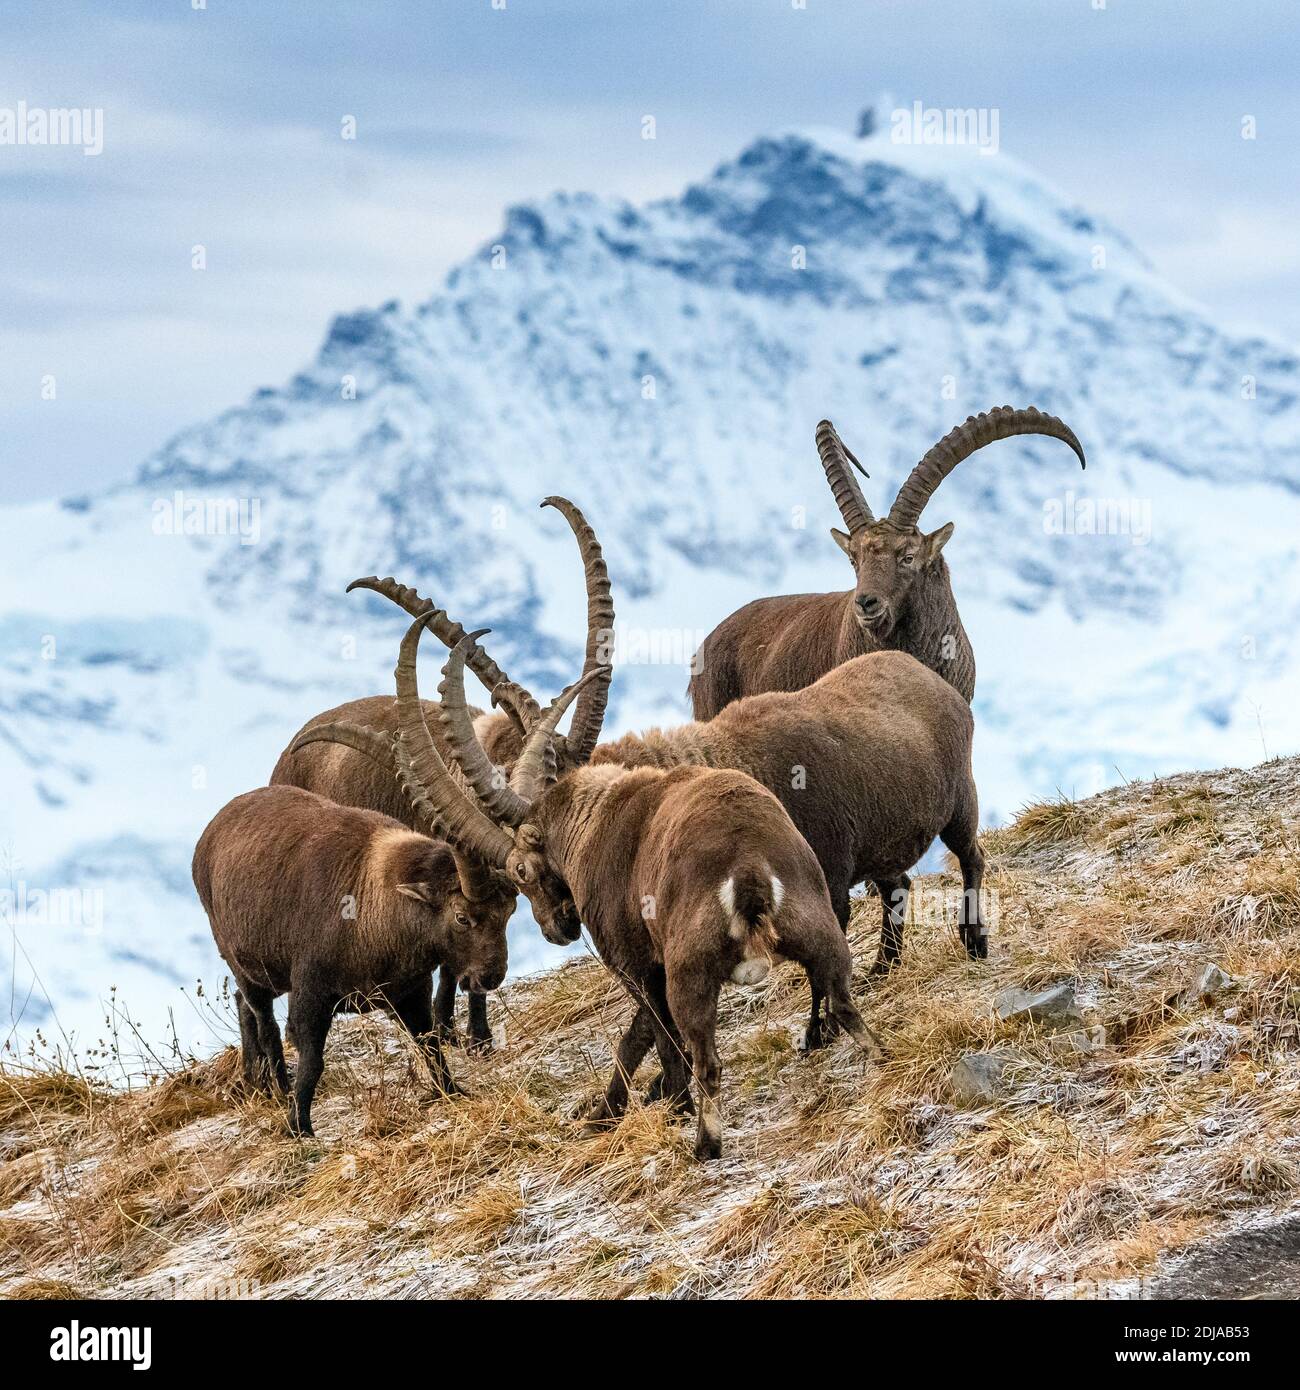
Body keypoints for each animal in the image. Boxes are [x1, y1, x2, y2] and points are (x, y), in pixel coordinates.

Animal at [192, 784, 515, 1136]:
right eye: (462, 917)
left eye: (509, 911)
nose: (490, 976)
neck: (375, 903)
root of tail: (212, 830)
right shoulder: (311, 991)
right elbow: (312, 1060)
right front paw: (299, 1126)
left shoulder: (410, 991)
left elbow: (428, 1043)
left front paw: (454, 1092)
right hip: (244, 964)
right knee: (264, 1022)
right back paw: (280, 1087)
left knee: (241, 1001)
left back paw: (256, 1080)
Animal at [349, 613, 883, 1160]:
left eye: (520, 871)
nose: (559, 927)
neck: (594, 812)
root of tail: (751, 871)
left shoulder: (636, 964)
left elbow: (657, 1038)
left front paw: (648, 1108)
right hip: (818, 930)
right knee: (844, 1004)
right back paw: (876, 1069)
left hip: (691, 972)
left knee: (706, 1057)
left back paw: (705, 1144)